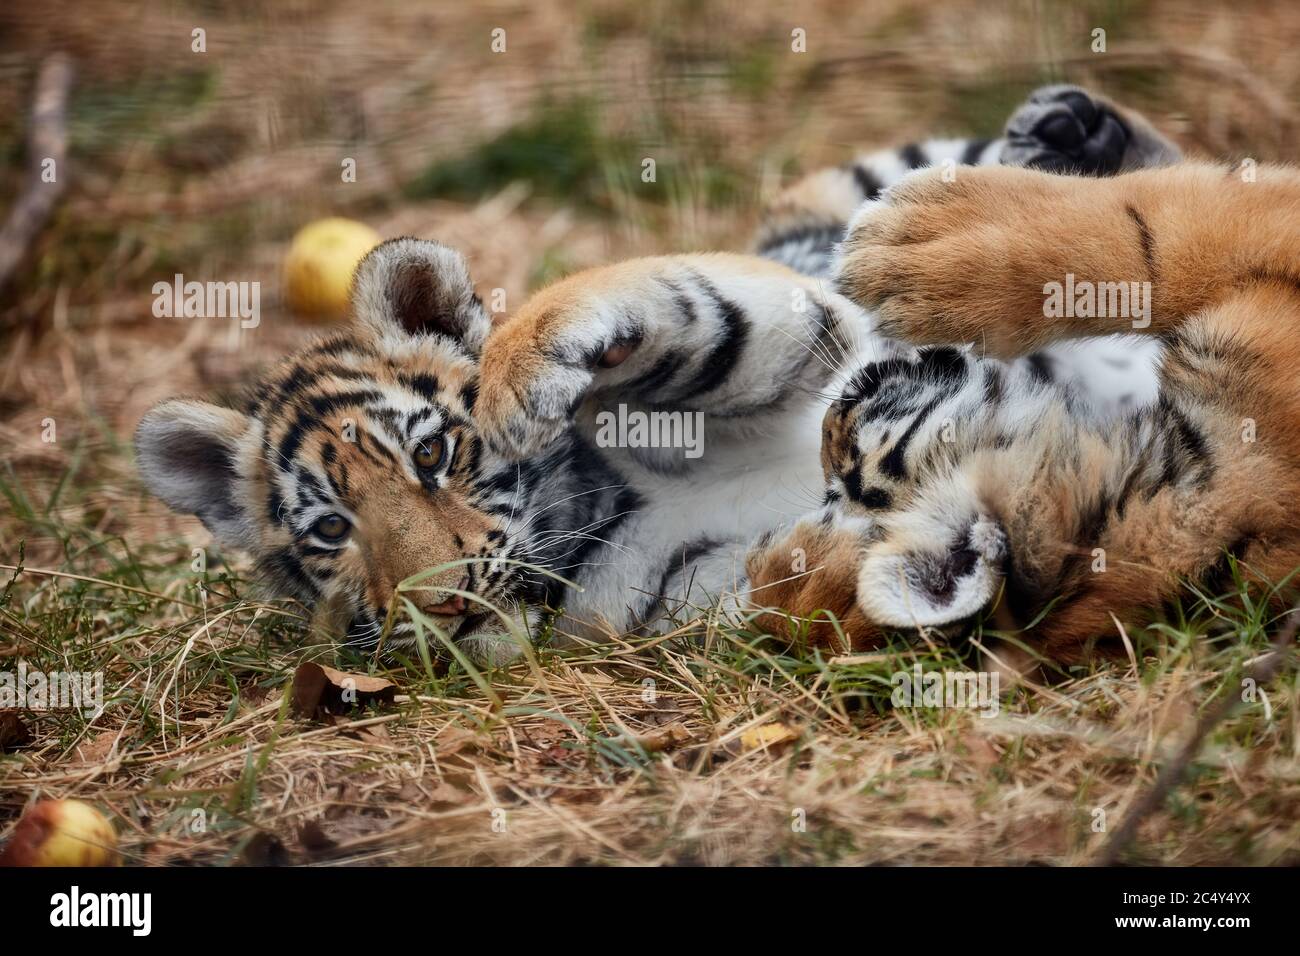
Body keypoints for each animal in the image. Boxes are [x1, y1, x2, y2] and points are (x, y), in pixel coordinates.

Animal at [135, 85, 1190, 665]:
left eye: (434, 455)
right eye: (329, 531)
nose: (441, 601)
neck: (591, 509)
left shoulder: (799, 328)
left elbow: (684, 312)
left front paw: (525, 371)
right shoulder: (681, 595)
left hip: (888, 188)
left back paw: (1071, 129)